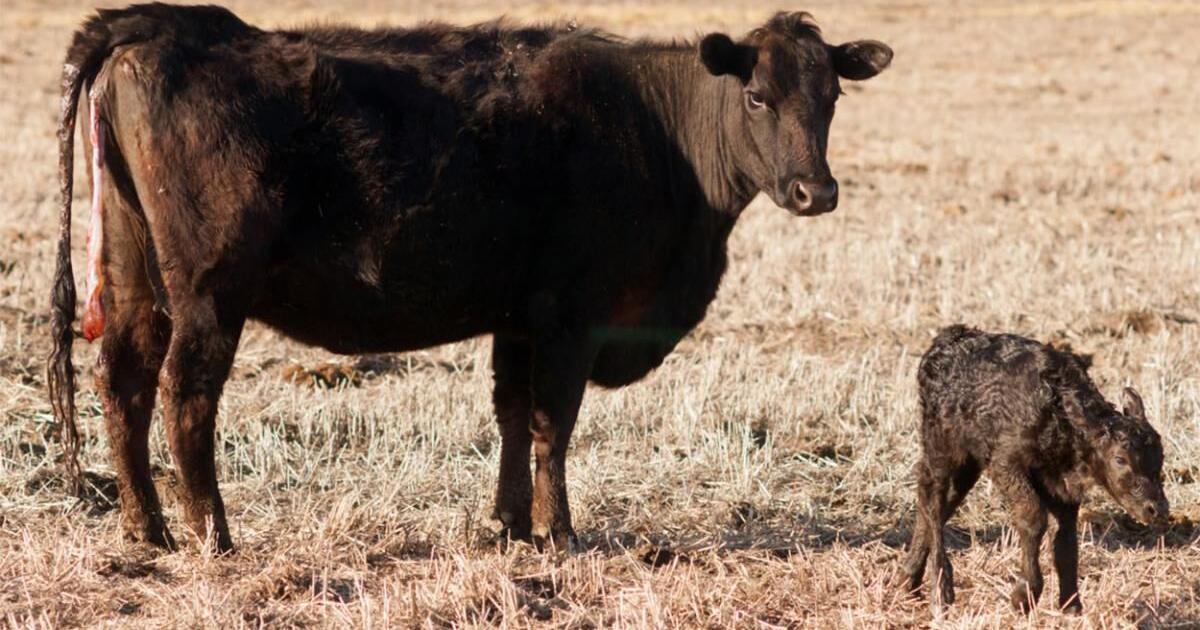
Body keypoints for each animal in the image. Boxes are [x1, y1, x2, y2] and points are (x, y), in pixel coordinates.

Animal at [49, 3, 892, 553]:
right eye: (756, 96)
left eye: (833, 96)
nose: (816, 192)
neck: (657, 130)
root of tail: (157, 24)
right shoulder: (571, 315)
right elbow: (554, 422)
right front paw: (561, 532)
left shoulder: (517, 317)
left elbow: (513, 416)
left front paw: (510, 524)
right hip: (208, 294)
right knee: (184, 398)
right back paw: (212, 534)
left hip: (135, 278)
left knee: (122, 382)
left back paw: (147, 529)